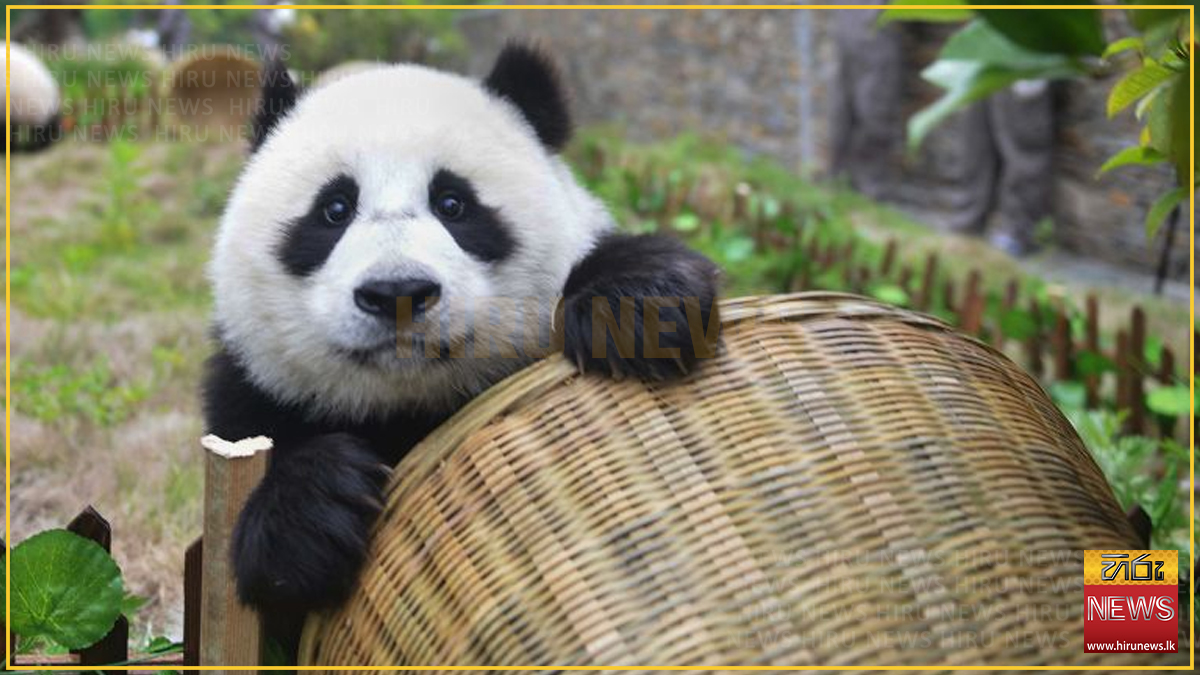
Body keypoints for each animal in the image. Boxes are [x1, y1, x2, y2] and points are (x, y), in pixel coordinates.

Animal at [204, 44, 720, 626]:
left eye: (453, 203)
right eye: (334, 209)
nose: (397, 291)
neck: (407, 406)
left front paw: (636, 309)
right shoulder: (254, 394)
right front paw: (312, 516)